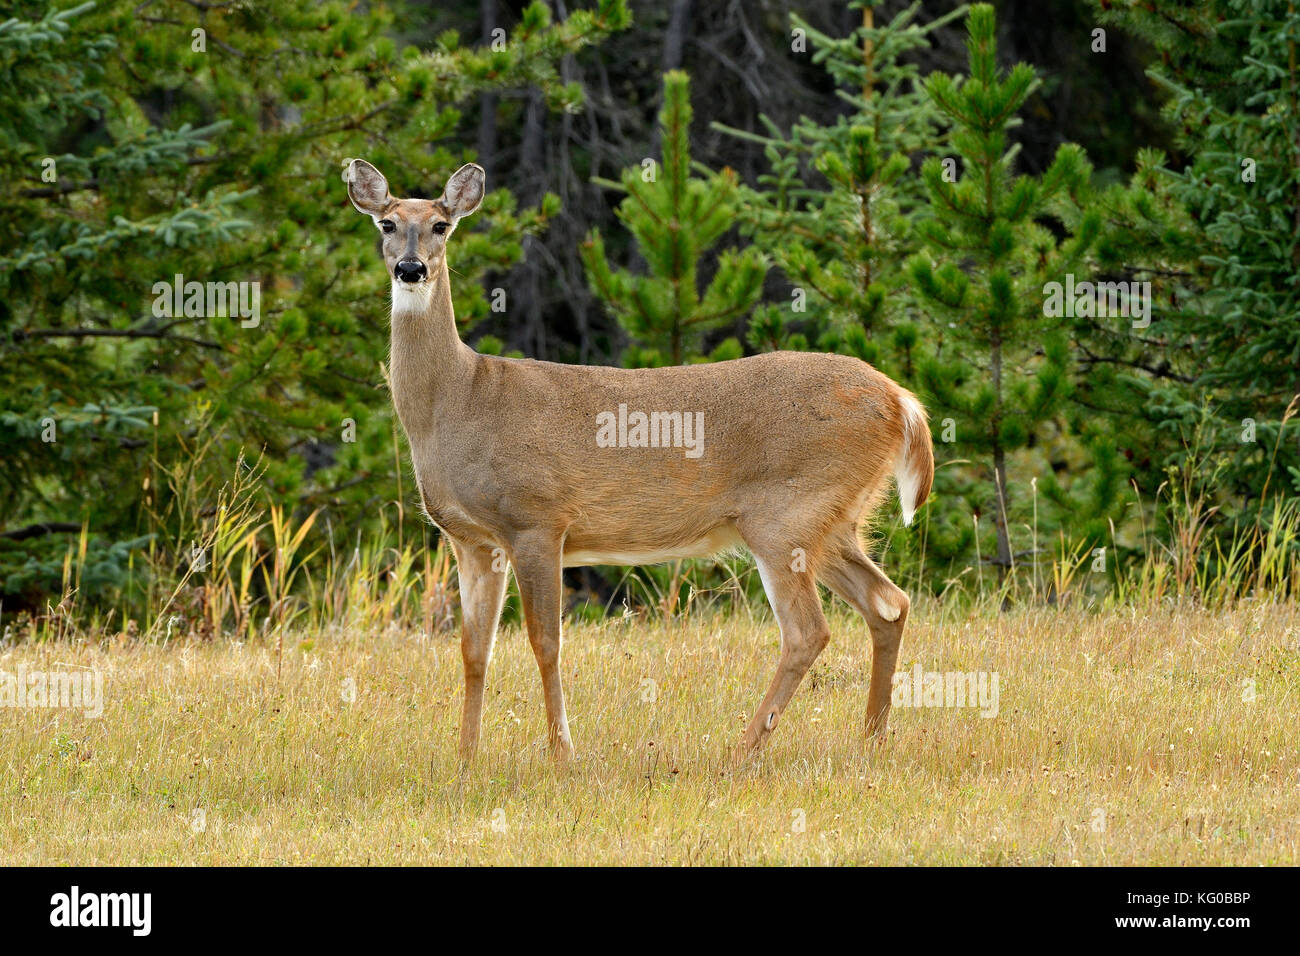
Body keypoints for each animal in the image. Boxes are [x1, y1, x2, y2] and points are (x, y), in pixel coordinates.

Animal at [343, 158, 934, 765]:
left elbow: (545, 641)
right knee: (888, 602)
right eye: (387, 223)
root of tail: (901, 401)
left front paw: (562, 754)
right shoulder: (472, 540)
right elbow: (472, 649)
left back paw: (742, 751)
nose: (411, 268)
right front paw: (465, 760)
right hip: (832, 521)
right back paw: (871, 737)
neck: (459, 400)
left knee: (809, 631)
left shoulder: (537, 519)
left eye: (441, 225)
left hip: (785, 515)